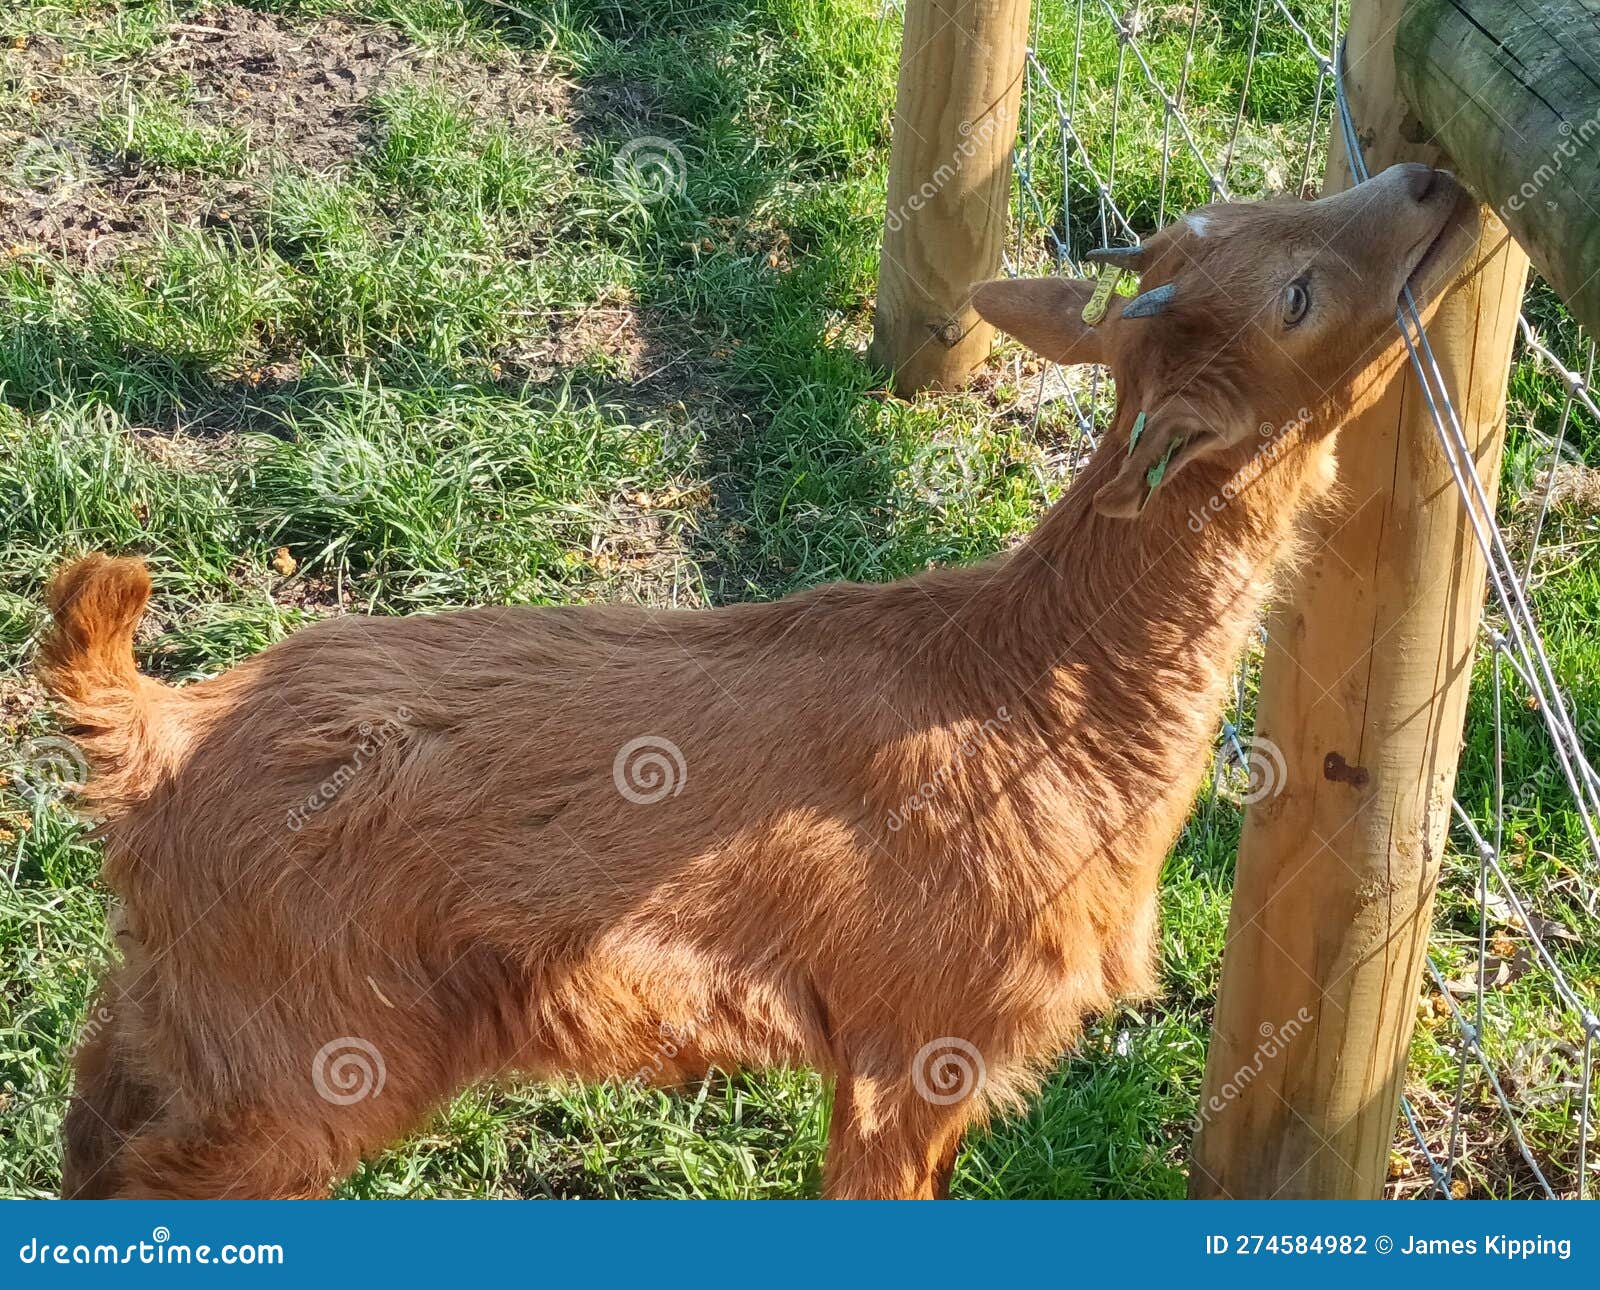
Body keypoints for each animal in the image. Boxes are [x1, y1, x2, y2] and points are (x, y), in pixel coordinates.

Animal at [43, 163, 1475, 1199]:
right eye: (1296, 297)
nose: (1428, 181)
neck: (1041, 691)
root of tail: (156, 733)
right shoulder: (922, 1041)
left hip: (185, 1007)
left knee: (93, 1116)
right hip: (302, 1059)